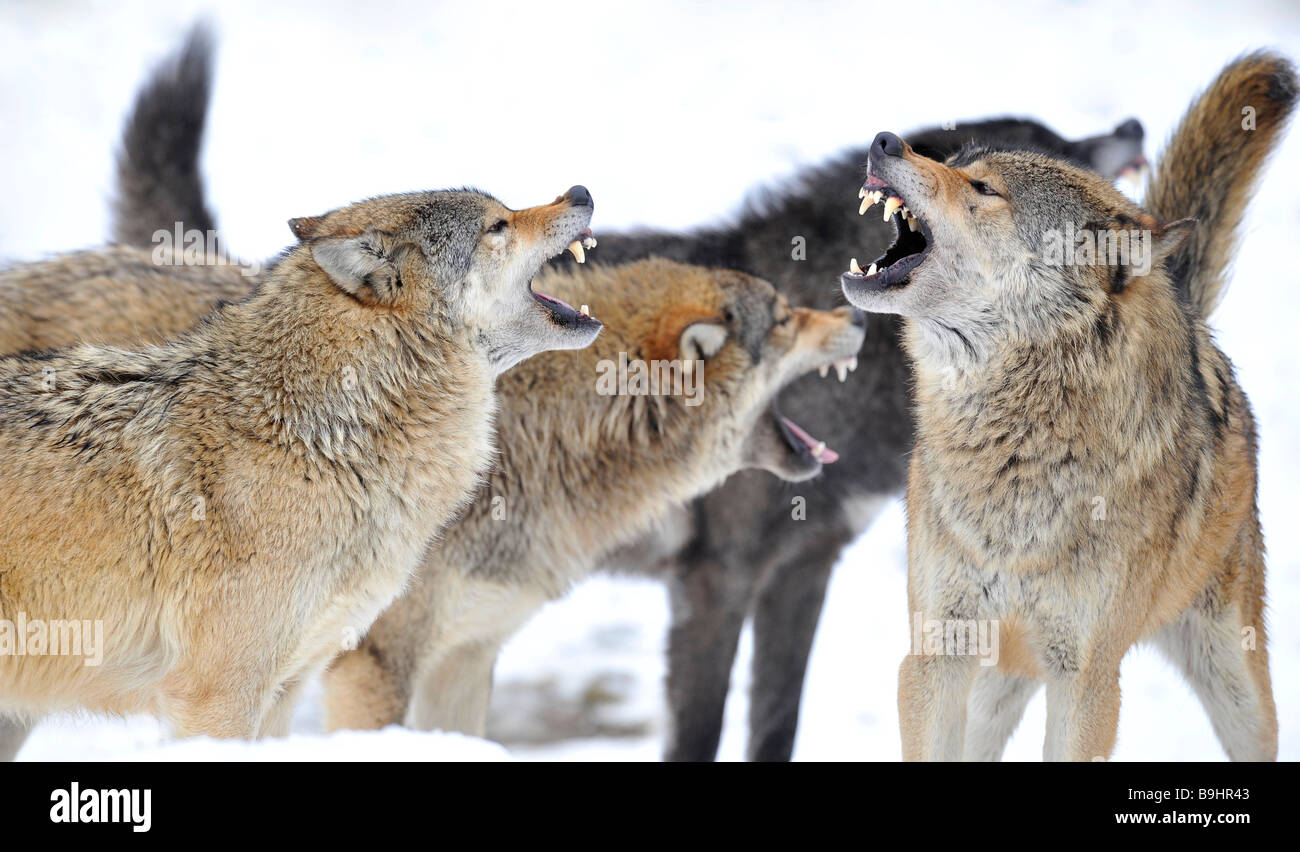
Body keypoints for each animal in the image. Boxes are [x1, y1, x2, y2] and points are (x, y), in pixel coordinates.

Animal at [840, 52, 1294, 761]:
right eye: (958, 163)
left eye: (983, 189)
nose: (885, 141)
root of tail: (1190, 317)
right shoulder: (934, 655)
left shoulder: (1087, 678)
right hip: (995, 684)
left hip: (1238, 690)